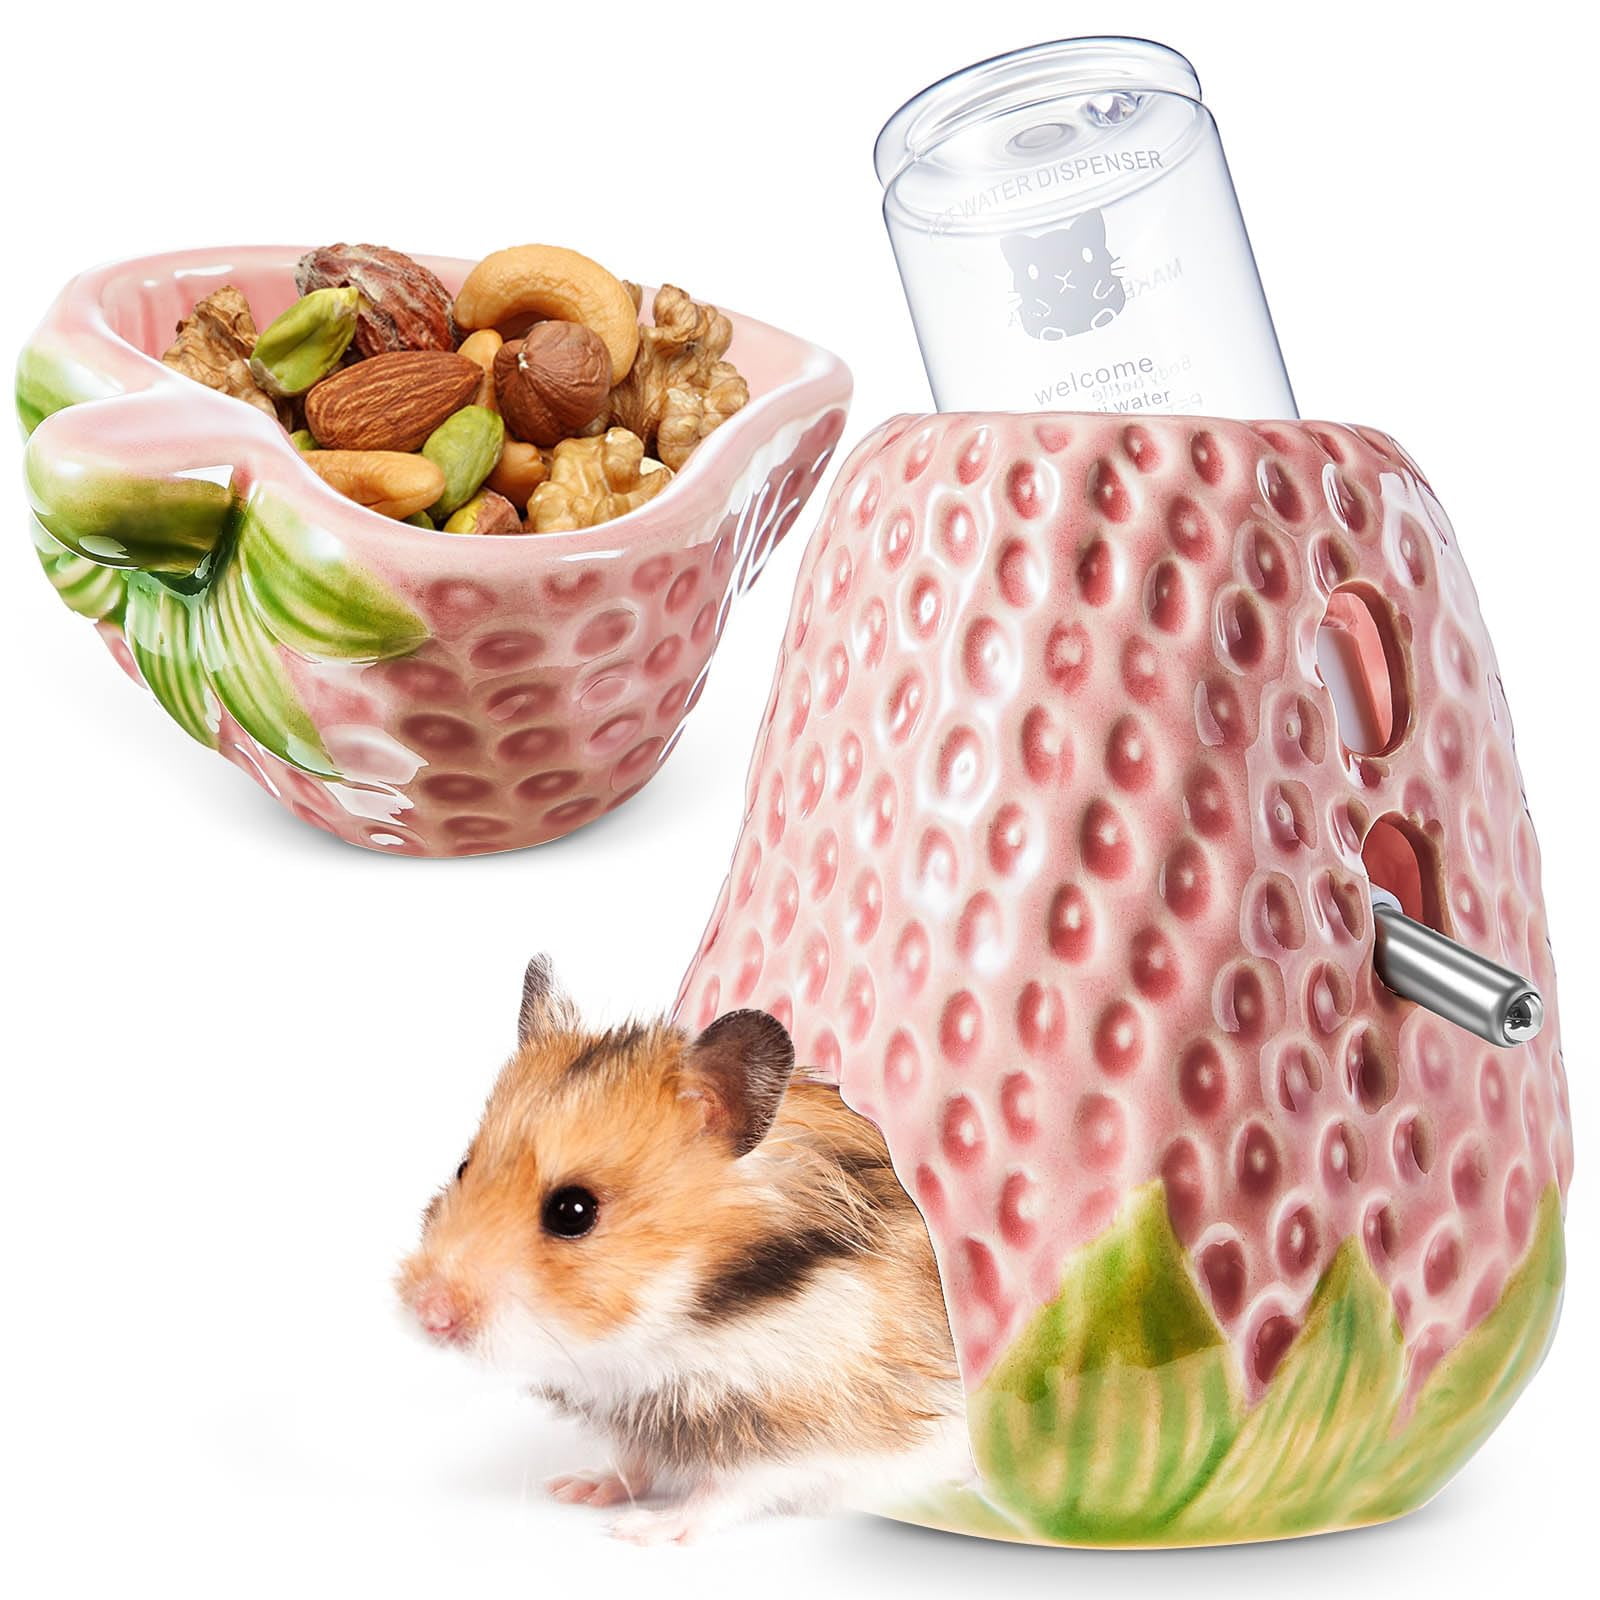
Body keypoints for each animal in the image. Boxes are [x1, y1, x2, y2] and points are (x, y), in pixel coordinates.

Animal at [397, 956, 969, 1544]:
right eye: (463, 1168)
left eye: (573, 1211)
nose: (425, 1314)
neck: (674, 1332)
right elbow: (631, 1460)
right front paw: (574, 1489)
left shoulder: (808, 1424)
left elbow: (727, 1489)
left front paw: (639, 1530)